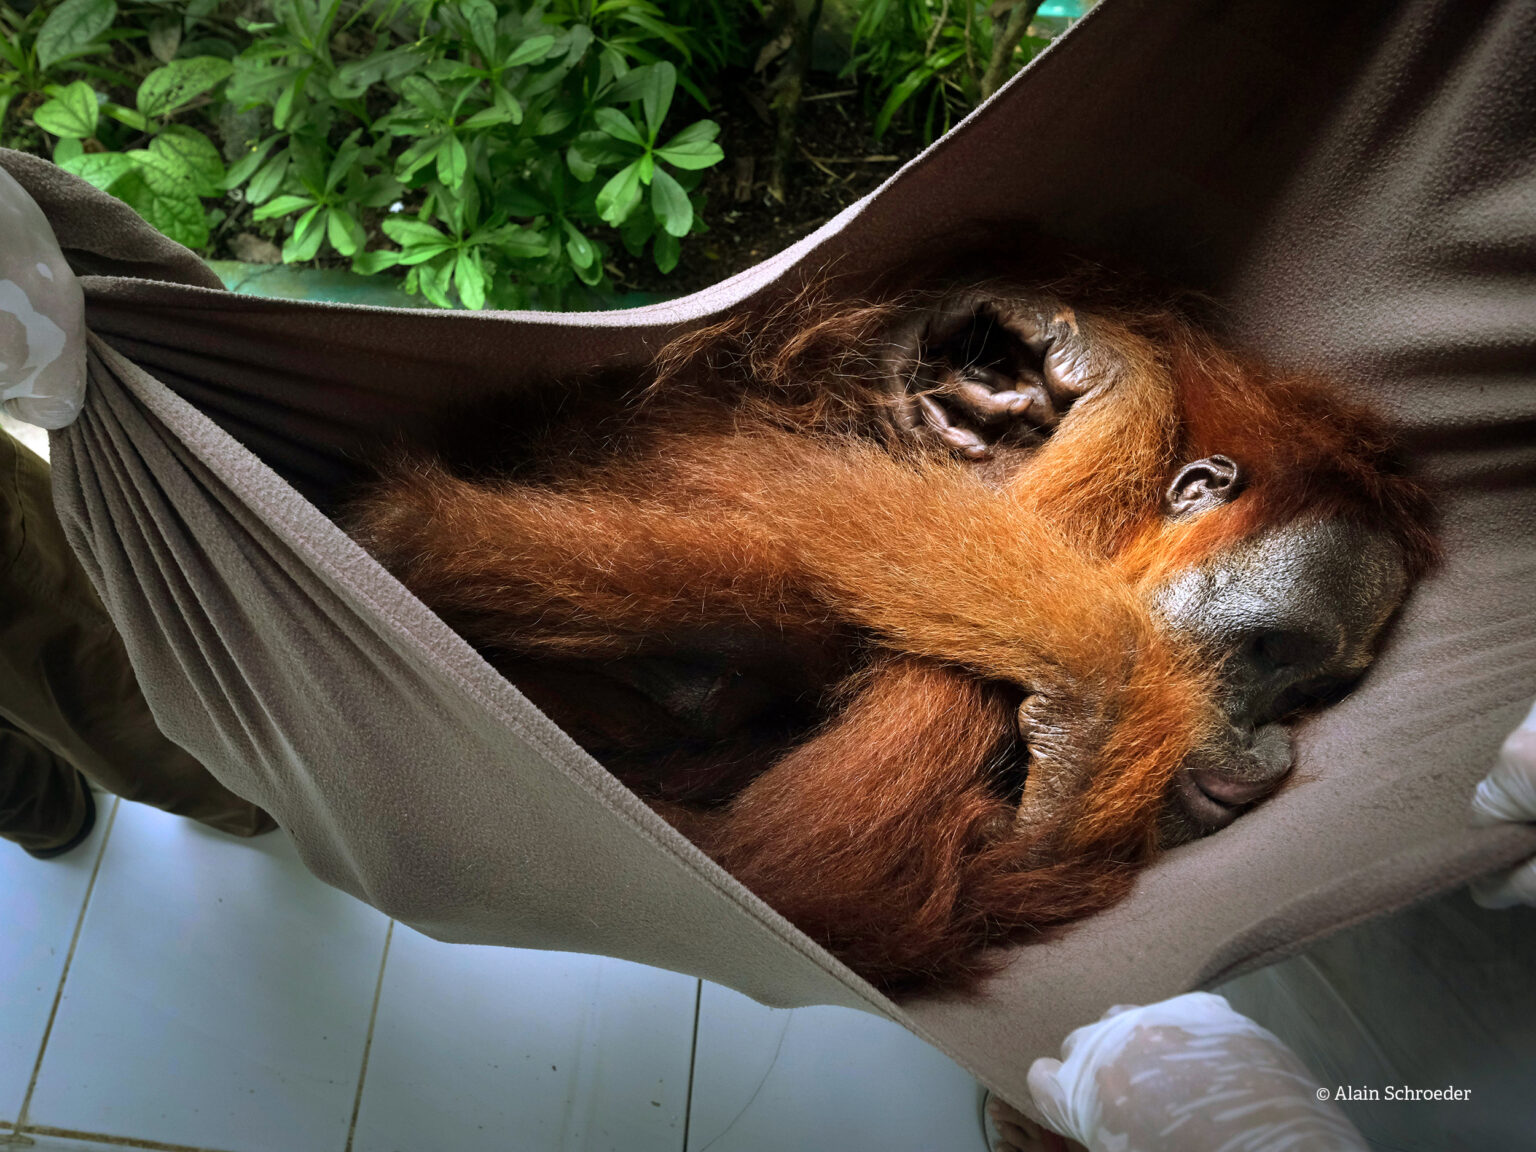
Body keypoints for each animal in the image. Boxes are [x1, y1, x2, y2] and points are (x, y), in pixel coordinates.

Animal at [341, 276, 1436, 994]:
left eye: (1311, 693)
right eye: (1273, 651)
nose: (1267, 746)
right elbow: (809, 867)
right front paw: (1097, 720)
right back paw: (408, 533)